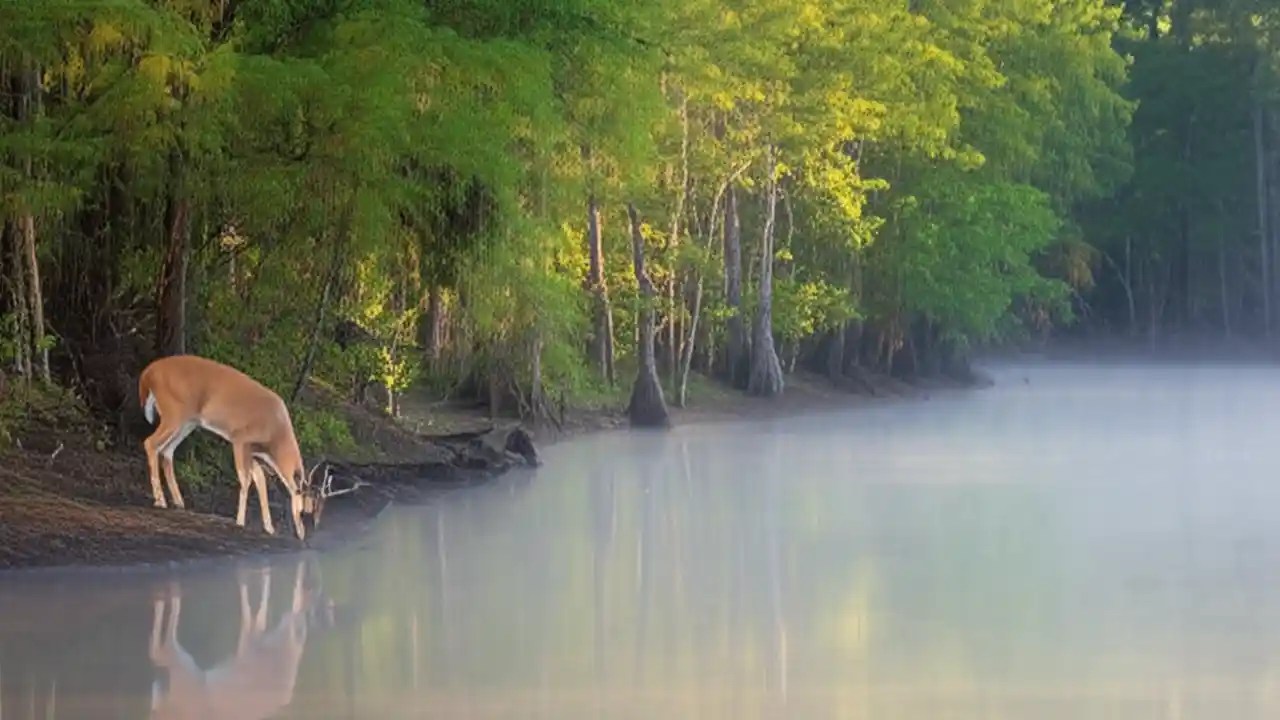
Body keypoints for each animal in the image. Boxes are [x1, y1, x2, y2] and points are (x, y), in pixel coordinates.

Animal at [138, 354, 357, 541]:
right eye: (305, 510)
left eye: (321, 510)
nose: (305, 534)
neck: (275, 437)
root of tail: (147, 373)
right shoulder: (241, 439)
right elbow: (246, 479)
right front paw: (240, 521)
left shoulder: (254, 452)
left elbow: (260, 481)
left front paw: (269, 527)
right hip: (175, 412)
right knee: (151, 443)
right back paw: (160, 500)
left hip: (189, 421)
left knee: (167, 450)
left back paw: (178, 502)